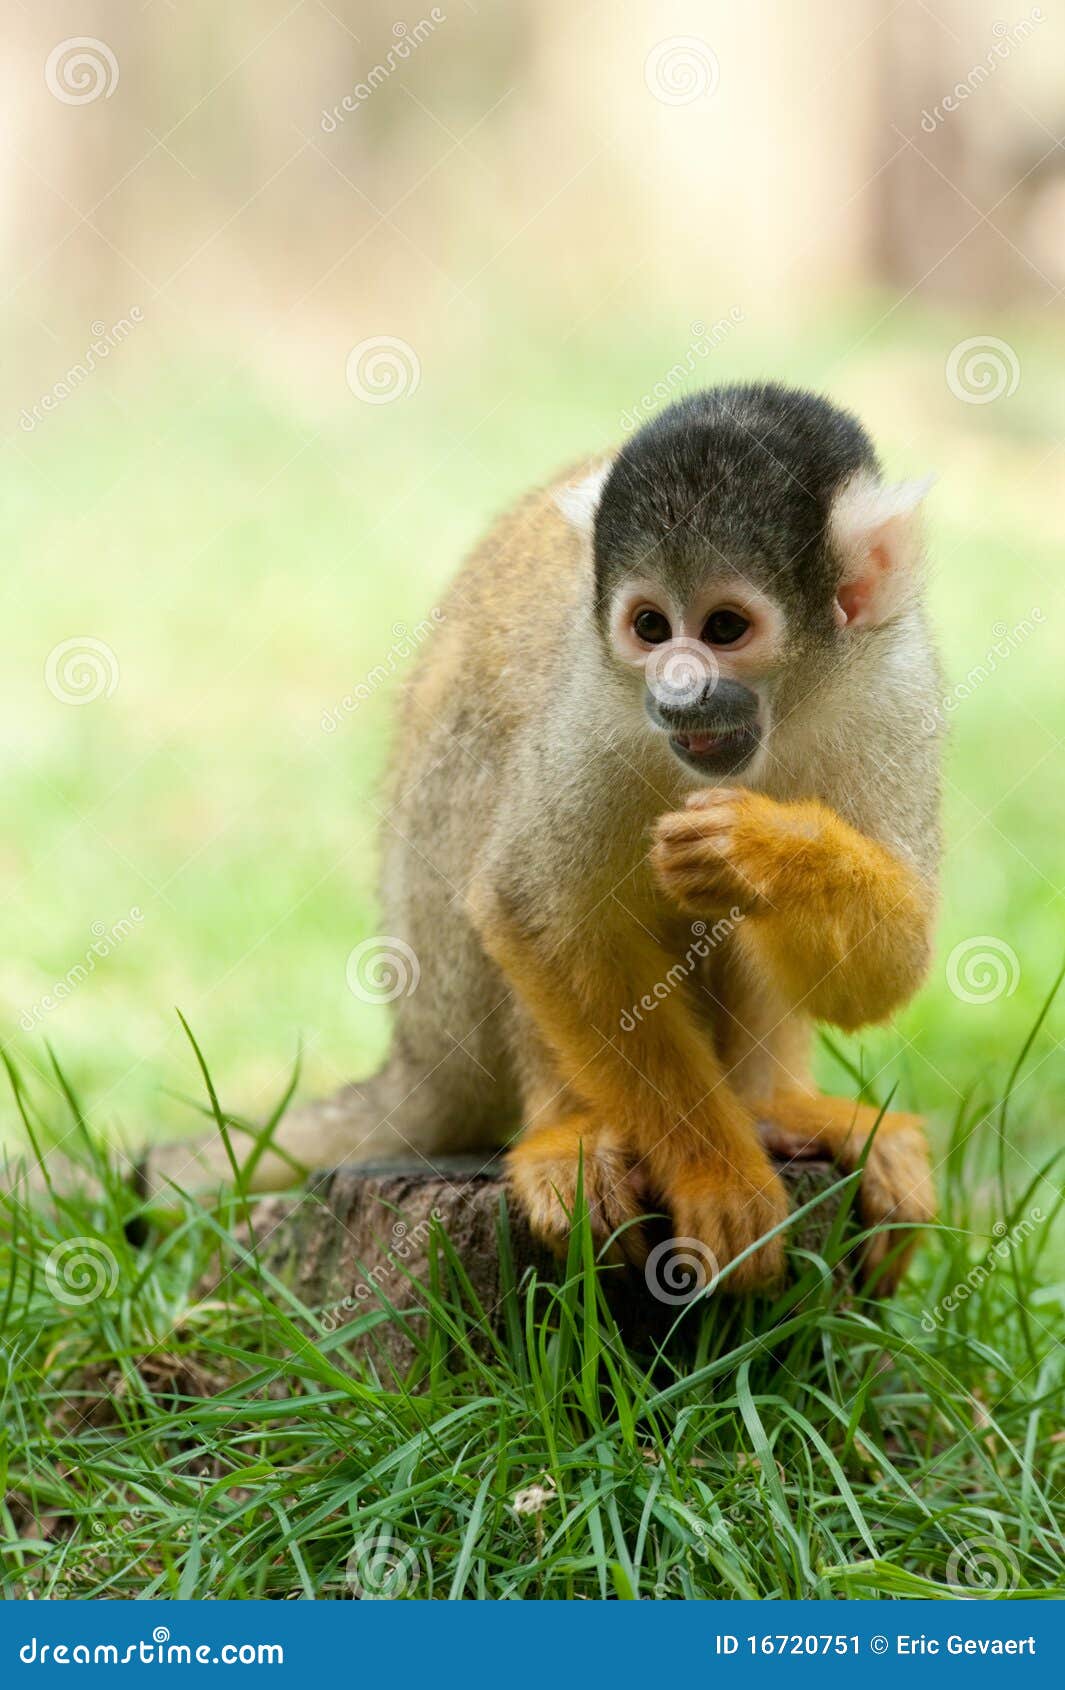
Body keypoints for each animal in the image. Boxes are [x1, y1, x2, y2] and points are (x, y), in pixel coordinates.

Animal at [159, 382, 940, 1293]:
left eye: (723, 628)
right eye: (649, 626)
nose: (675, 692)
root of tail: (415, 1056)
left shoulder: (894, 692)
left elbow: (886, 975)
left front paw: (761, 852)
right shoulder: (592, 705)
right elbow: (530, 909)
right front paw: (717, 1176)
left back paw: (768, 1107)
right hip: (439, 981)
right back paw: (568, 1130)